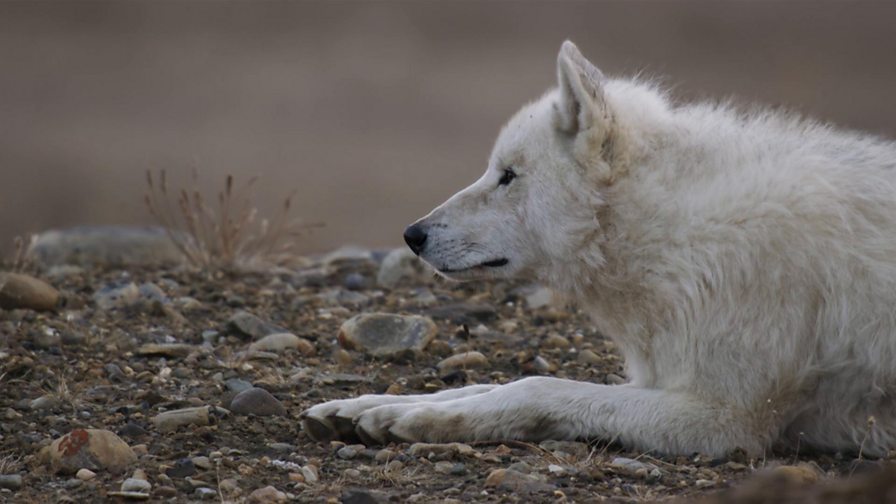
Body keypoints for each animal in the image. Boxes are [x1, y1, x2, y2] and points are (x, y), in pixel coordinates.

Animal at [302, 41, 896, 457]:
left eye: (508, 175)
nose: (413, 234)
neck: (671, 230)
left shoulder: (721, 419)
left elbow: (536, 387)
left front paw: (419, 422)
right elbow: (486, 383)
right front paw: (369, 408)